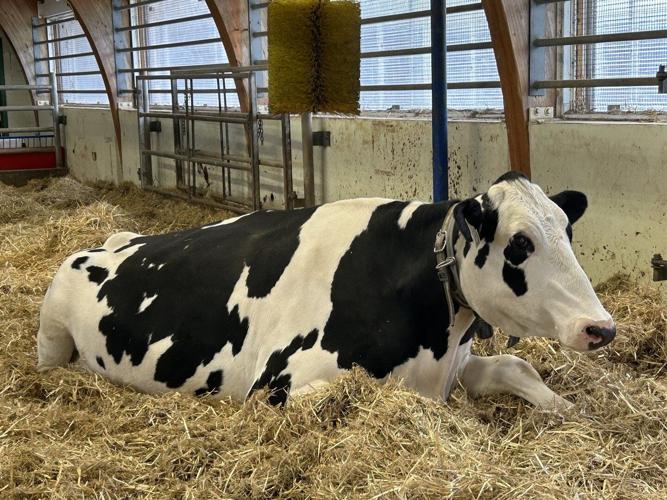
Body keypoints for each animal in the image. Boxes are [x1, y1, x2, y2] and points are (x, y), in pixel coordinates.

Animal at [37, 172, 616, 410]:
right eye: (520, 243)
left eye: (567, 231)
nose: (601, 328)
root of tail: (114, 238)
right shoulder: (277, 384)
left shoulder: (453, 363)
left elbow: (517, 368)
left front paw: (570, 410)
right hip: (52, 329)